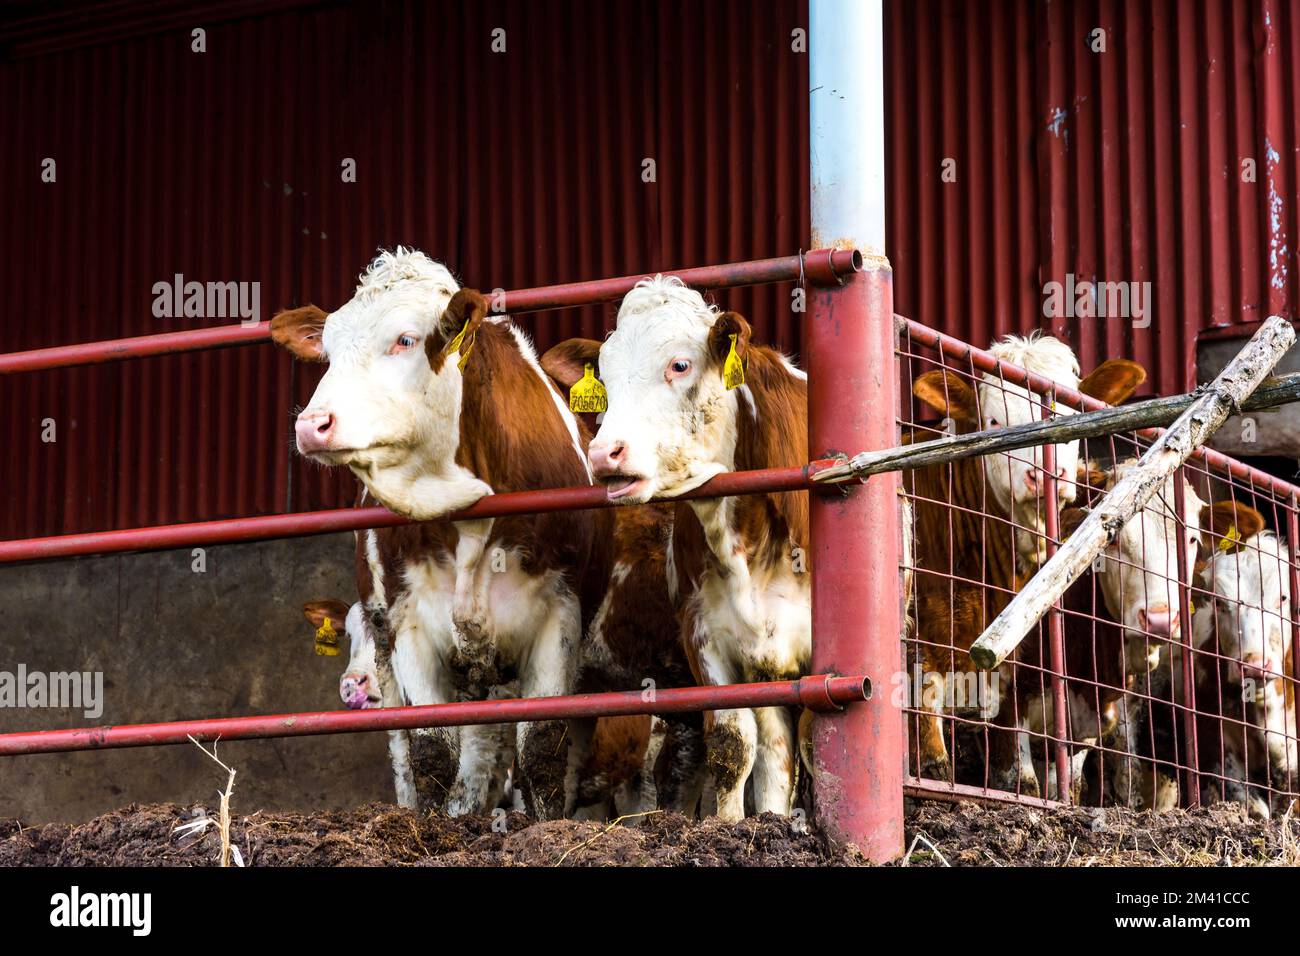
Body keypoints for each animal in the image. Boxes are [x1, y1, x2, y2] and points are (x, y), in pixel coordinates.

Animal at [545, 276, 809, 821]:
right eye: (605, 378)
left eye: (680, 365)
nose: (604, 454)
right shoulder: (704, 634)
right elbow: (732, 745)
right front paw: (729, 826)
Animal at [906, 337, 1145, 793]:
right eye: (994, 421)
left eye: (1073, 419)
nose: (1048, 473)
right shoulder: (923, 613)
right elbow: (922, 688)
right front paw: (933, 768)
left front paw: (1016, 775)